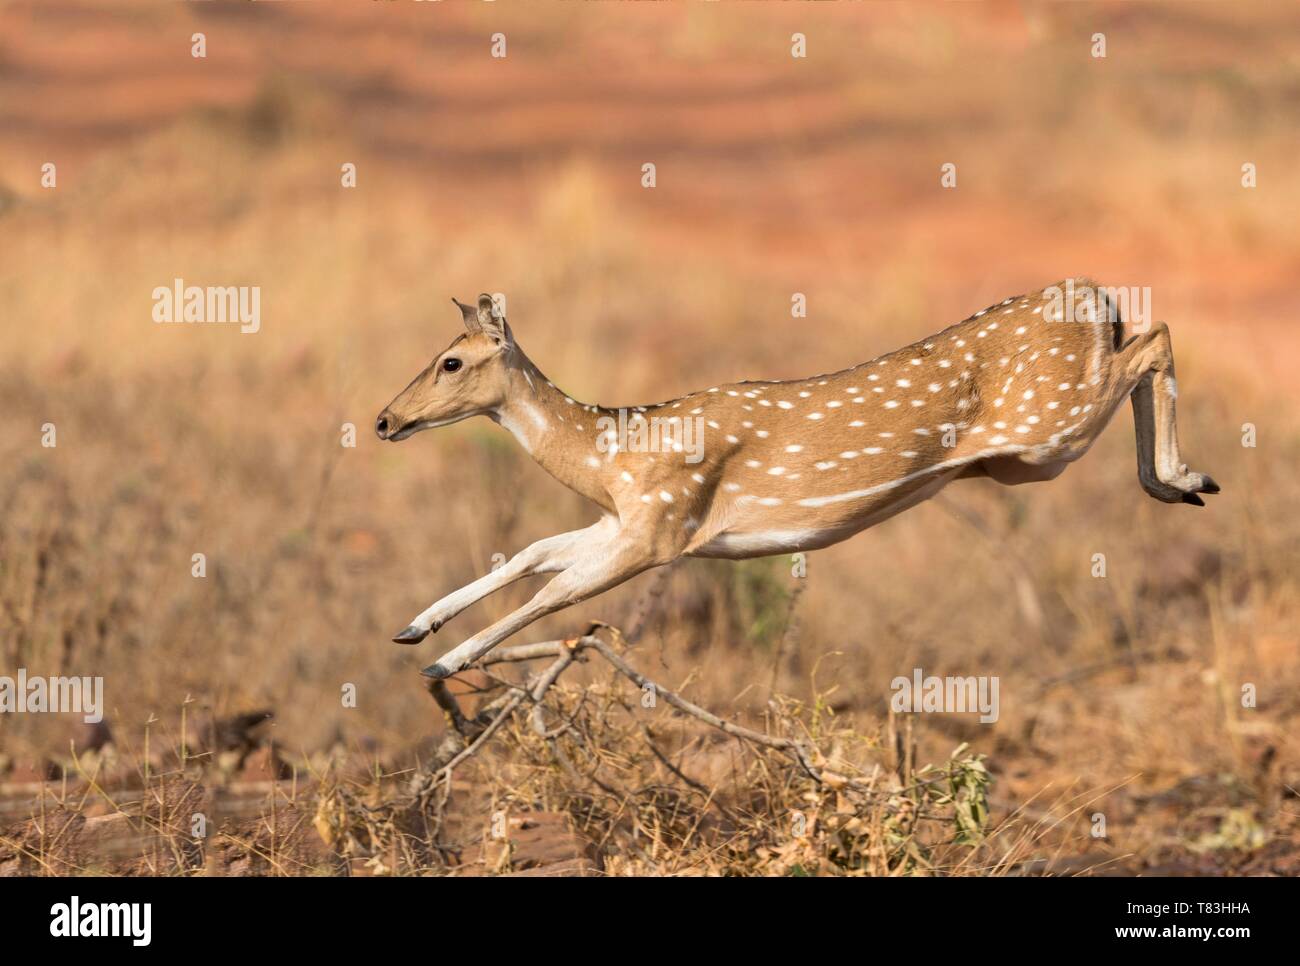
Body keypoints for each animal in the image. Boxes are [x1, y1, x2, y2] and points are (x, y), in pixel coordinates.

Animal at [375, 279, 1218, 679]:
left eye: (451, 360)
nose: (384, 420)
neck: (606, 452)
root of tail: (1091, 293)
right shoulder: (627, 520)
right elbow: (529, 554)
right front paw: (416, 627)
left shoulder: (662, 528)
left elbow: (554, 590)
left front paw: (445, 662)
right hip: (1028, 452)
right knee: (1149, 336)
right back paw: (1183, 481)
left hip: (1047, 429)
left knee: (1155, 336)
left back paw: (1182, 477)